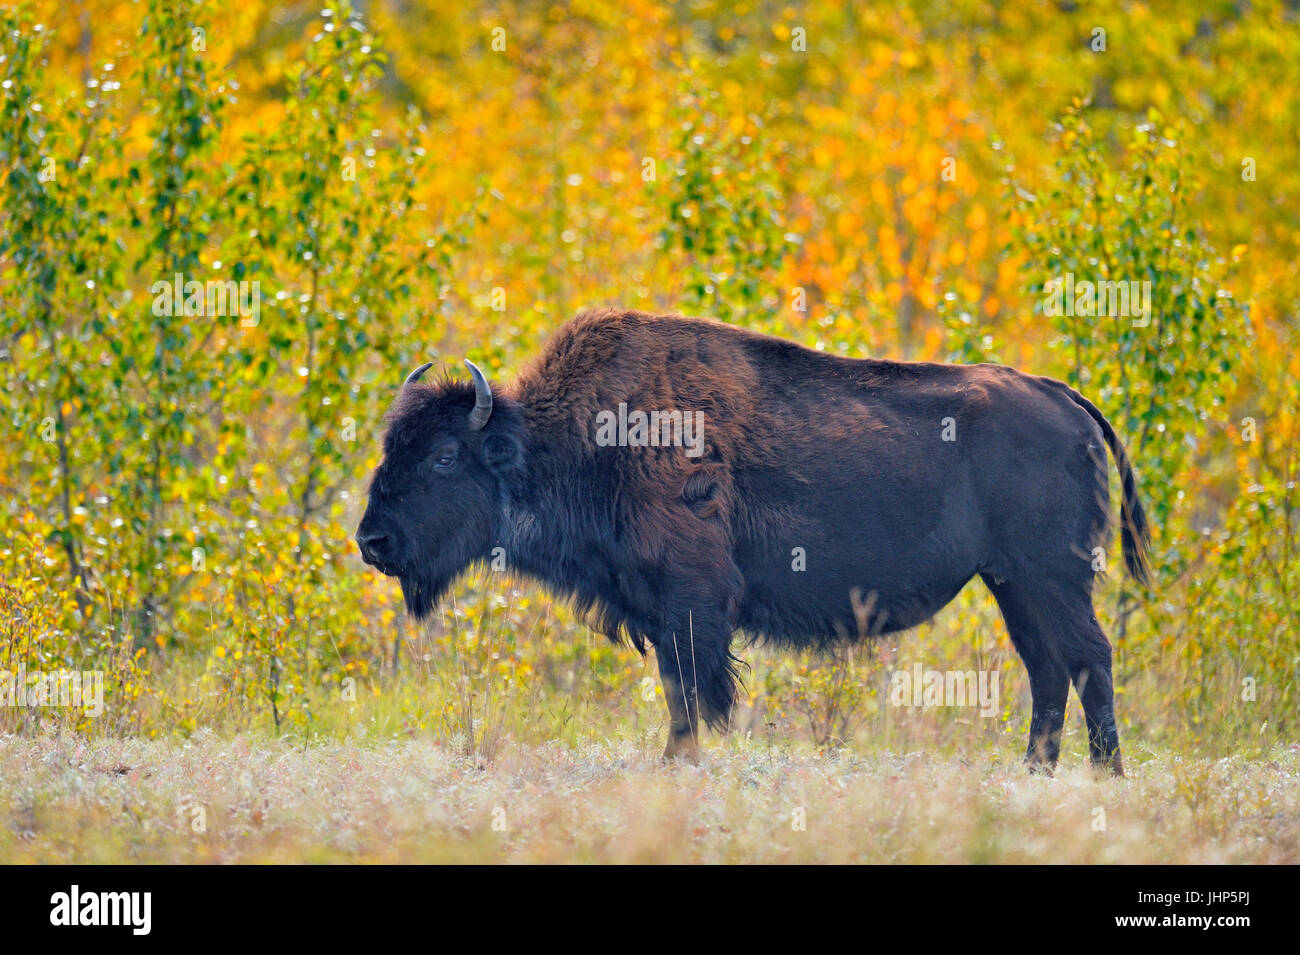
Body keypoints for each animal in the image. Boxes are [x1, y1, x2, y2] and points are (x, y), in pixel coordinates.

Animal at [356, 308, 1150, 774]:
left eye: (443, 456)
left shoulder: (689, 601)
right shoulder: (659, 609)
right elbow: (677, 687)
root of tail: (1062, 397)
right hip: (1013, 582)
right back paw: (1036, 772)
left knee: (1087, 657)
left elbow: (690, 691)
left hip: (1051, 577)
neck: (575, 439)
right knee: (1048, 667)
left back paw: (1105, 773)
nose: (372, 540)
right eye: (391, 446)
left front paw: (679, 764)